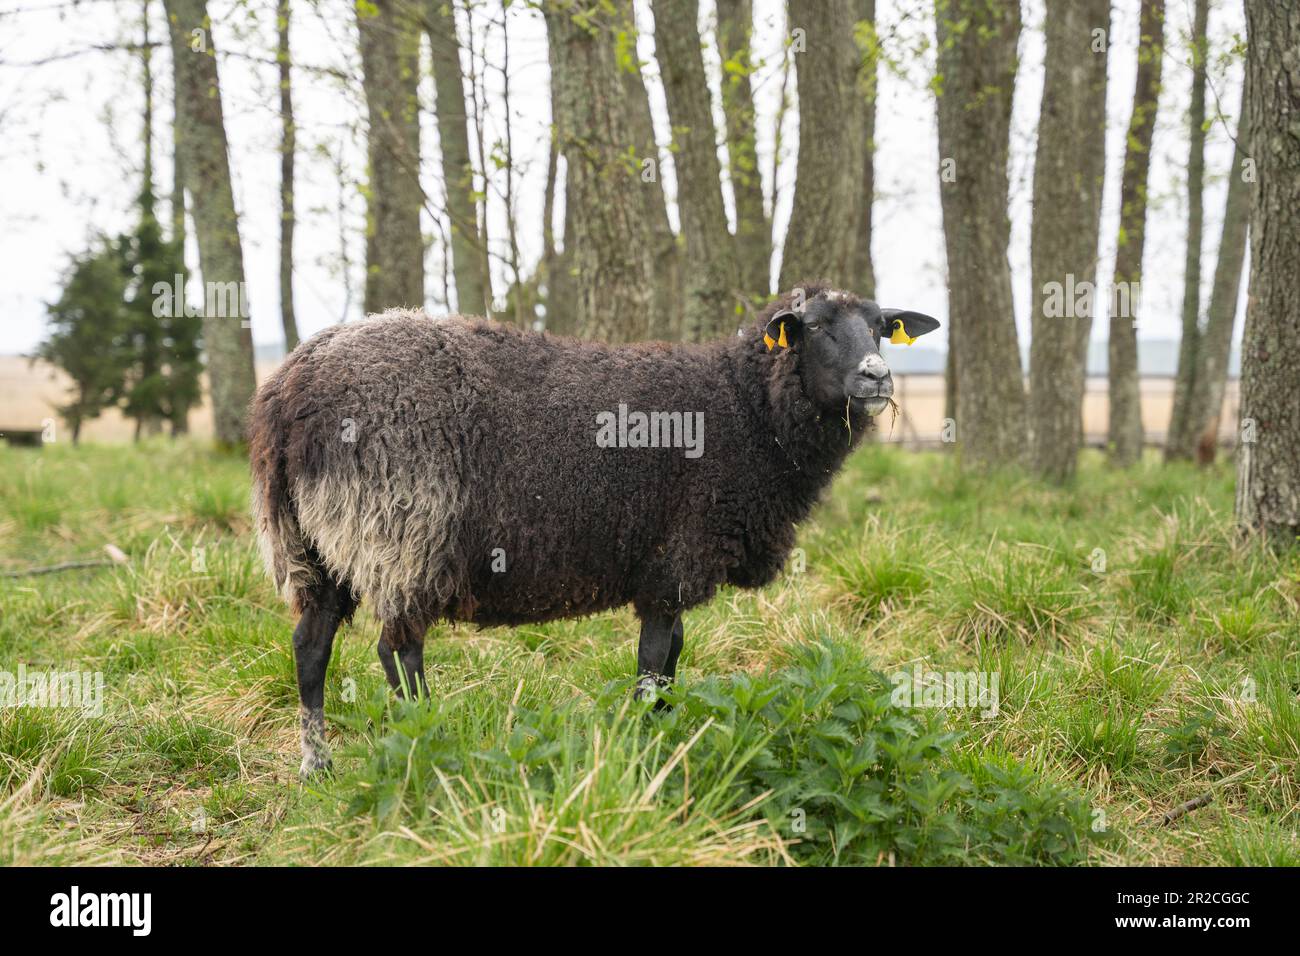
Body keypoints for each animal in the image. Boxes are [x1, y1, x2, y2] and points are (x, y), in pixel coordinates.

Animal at [248, 284, 940, 775]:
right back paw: (432, 748)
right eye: (816, 326)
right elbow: (654, 664)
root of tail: (289, 386)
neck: (743, 409)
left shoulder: (667, 566)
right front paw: (647, 754)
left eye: (882, 327)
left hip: (322, 541)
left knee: (311, 648)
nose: (878, 376)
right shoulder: (676, 560)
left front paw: (665, 737)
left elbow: (673, 661)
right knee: (399, 650)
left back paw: (318, 769)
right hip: (401, 525)